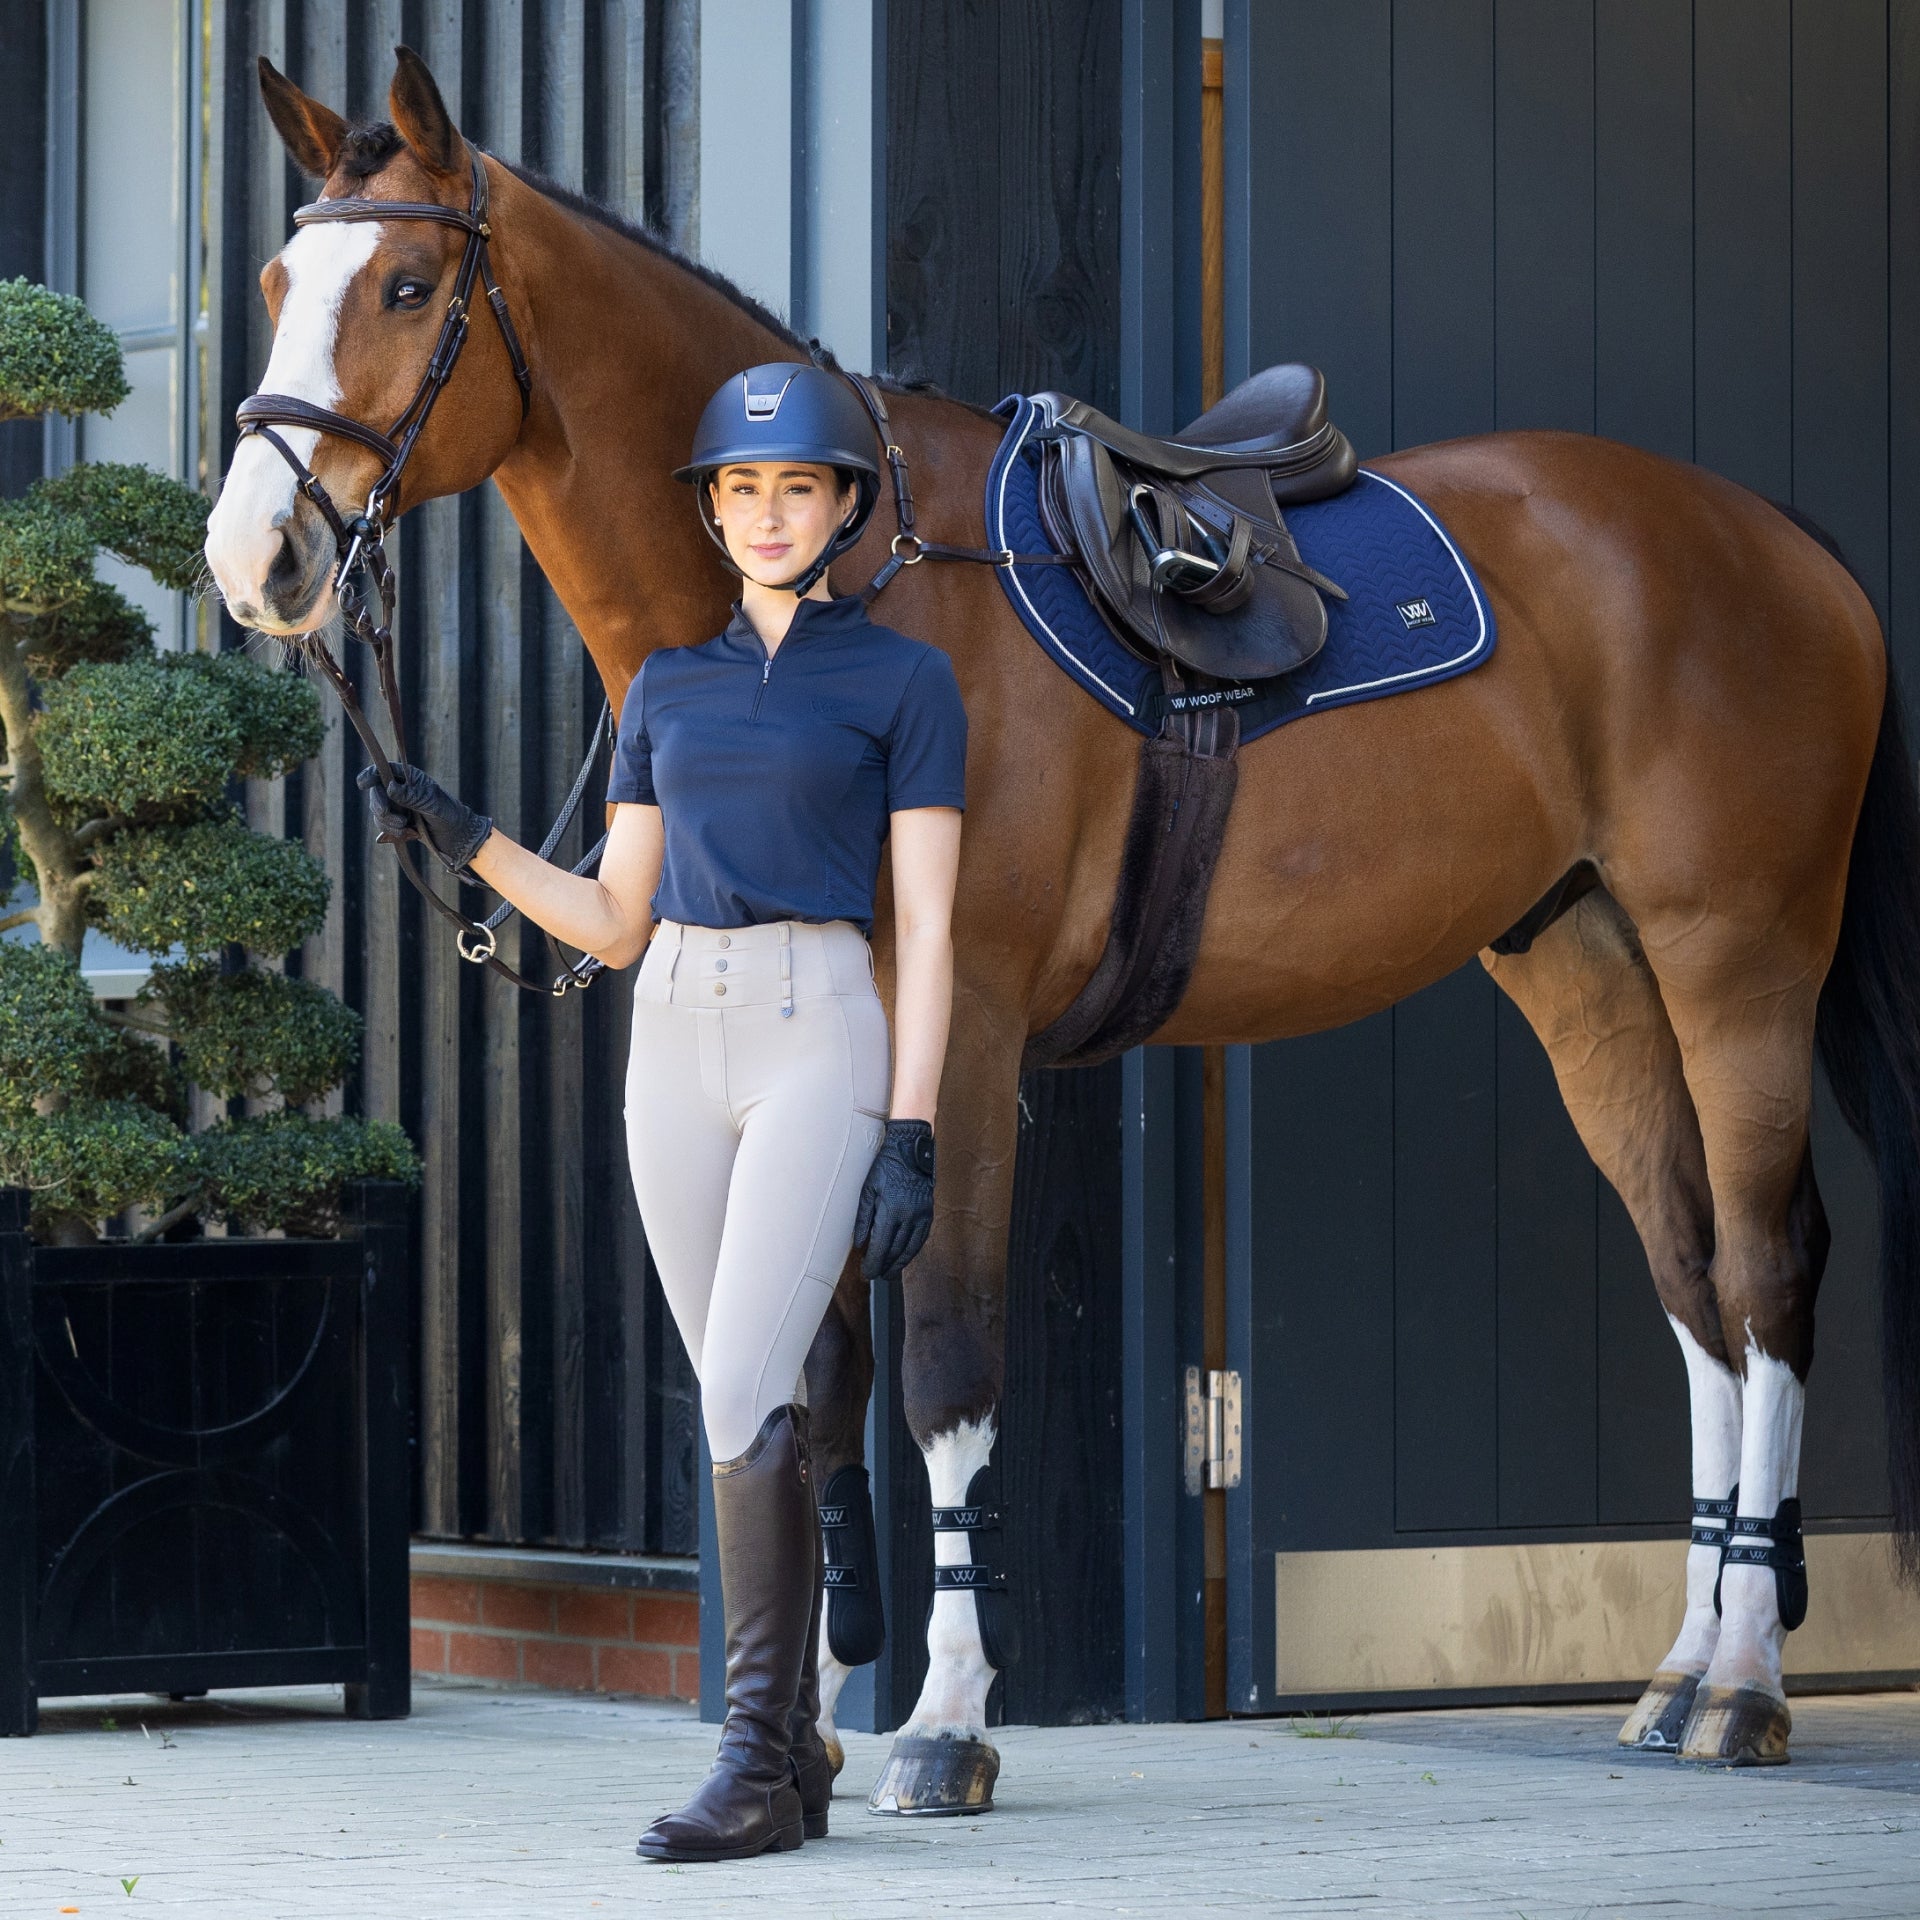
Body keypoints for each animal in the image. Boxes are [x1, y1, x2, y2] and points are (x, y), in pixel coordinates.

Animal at [204, 48, 1920, 1796]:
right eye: (275, 285)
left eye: (409, 287)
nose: (252, 556)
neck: (852, 586)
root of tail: (1779, 539)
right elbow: (818, 1372)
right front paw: (811, 1722)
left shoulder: (959, 1037)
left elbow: (944, 1365)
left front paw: (944, 1722)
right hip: (1593, 977)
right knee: (1695, 1286)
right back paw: (1682, 1670)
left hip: (1737, 964)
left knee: (1768, 1274)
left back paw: (1749, 1681)